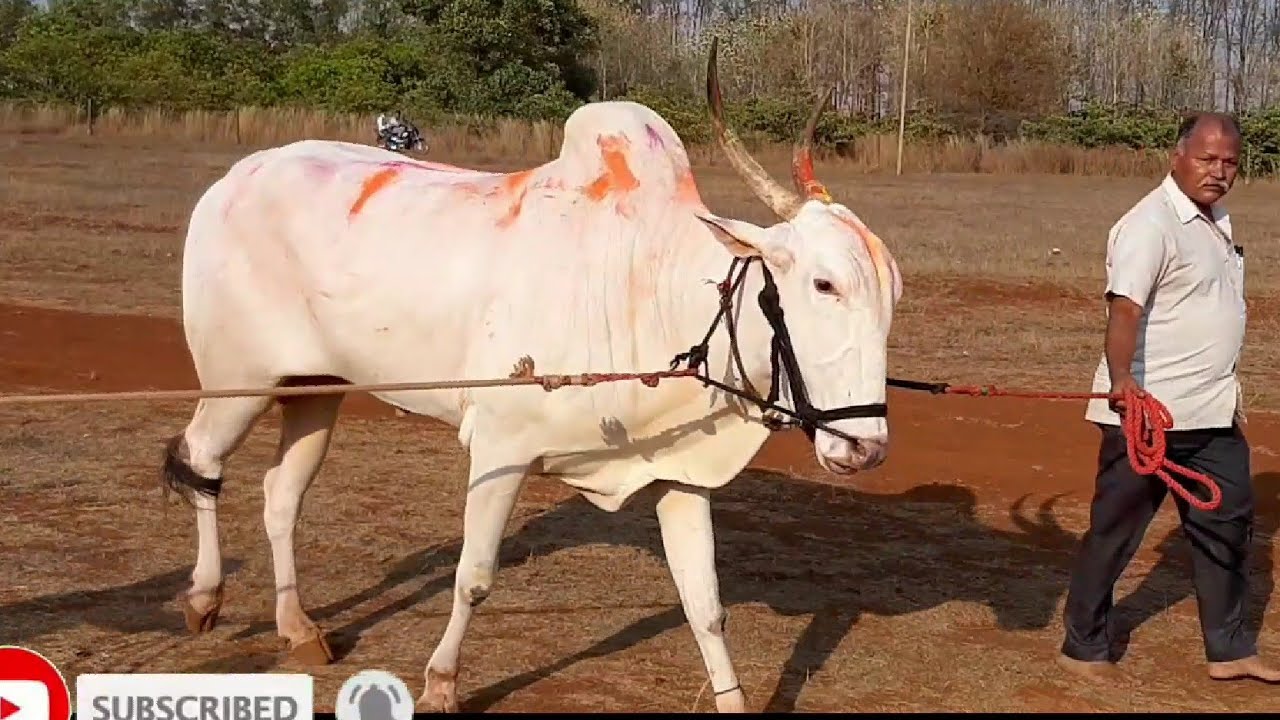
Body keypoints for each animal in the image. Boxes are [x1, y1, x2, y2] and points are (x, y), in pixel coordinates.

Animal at [158, 39, 902, 713]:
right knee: (200, 459)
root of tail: (235, 178)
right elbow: (474, 577)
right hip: (238, 379)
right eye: (824, 284)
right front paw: (440, 686)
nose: (865, 448)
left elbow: (705, 606)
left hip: (315, 388)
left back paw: (298, 628)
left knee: (281, 495)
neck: (646, 285)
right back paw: (203, 597)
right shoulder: (501, 447)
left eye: (893, 293)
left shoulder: (678, 471)